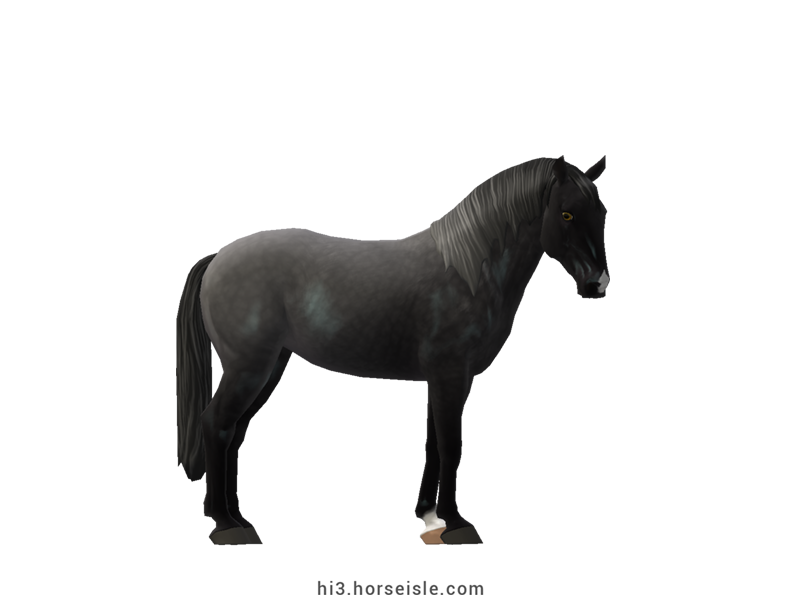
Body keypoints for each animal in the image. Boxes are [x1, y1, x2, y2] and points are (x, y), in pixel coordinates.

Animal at [177, 156, 609, 536]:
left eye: (598, 211)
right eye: (566, 214)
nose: (598, 283)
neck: (470, 271)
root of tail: (218, 259)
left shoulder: (449, 377)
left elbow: (436, 444)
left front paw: (428, 515)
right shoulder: (449, 371)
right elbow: (452, 444)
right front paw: (454, 519)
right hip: (246, 367)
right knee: (217, 425)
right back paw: (225, 521)